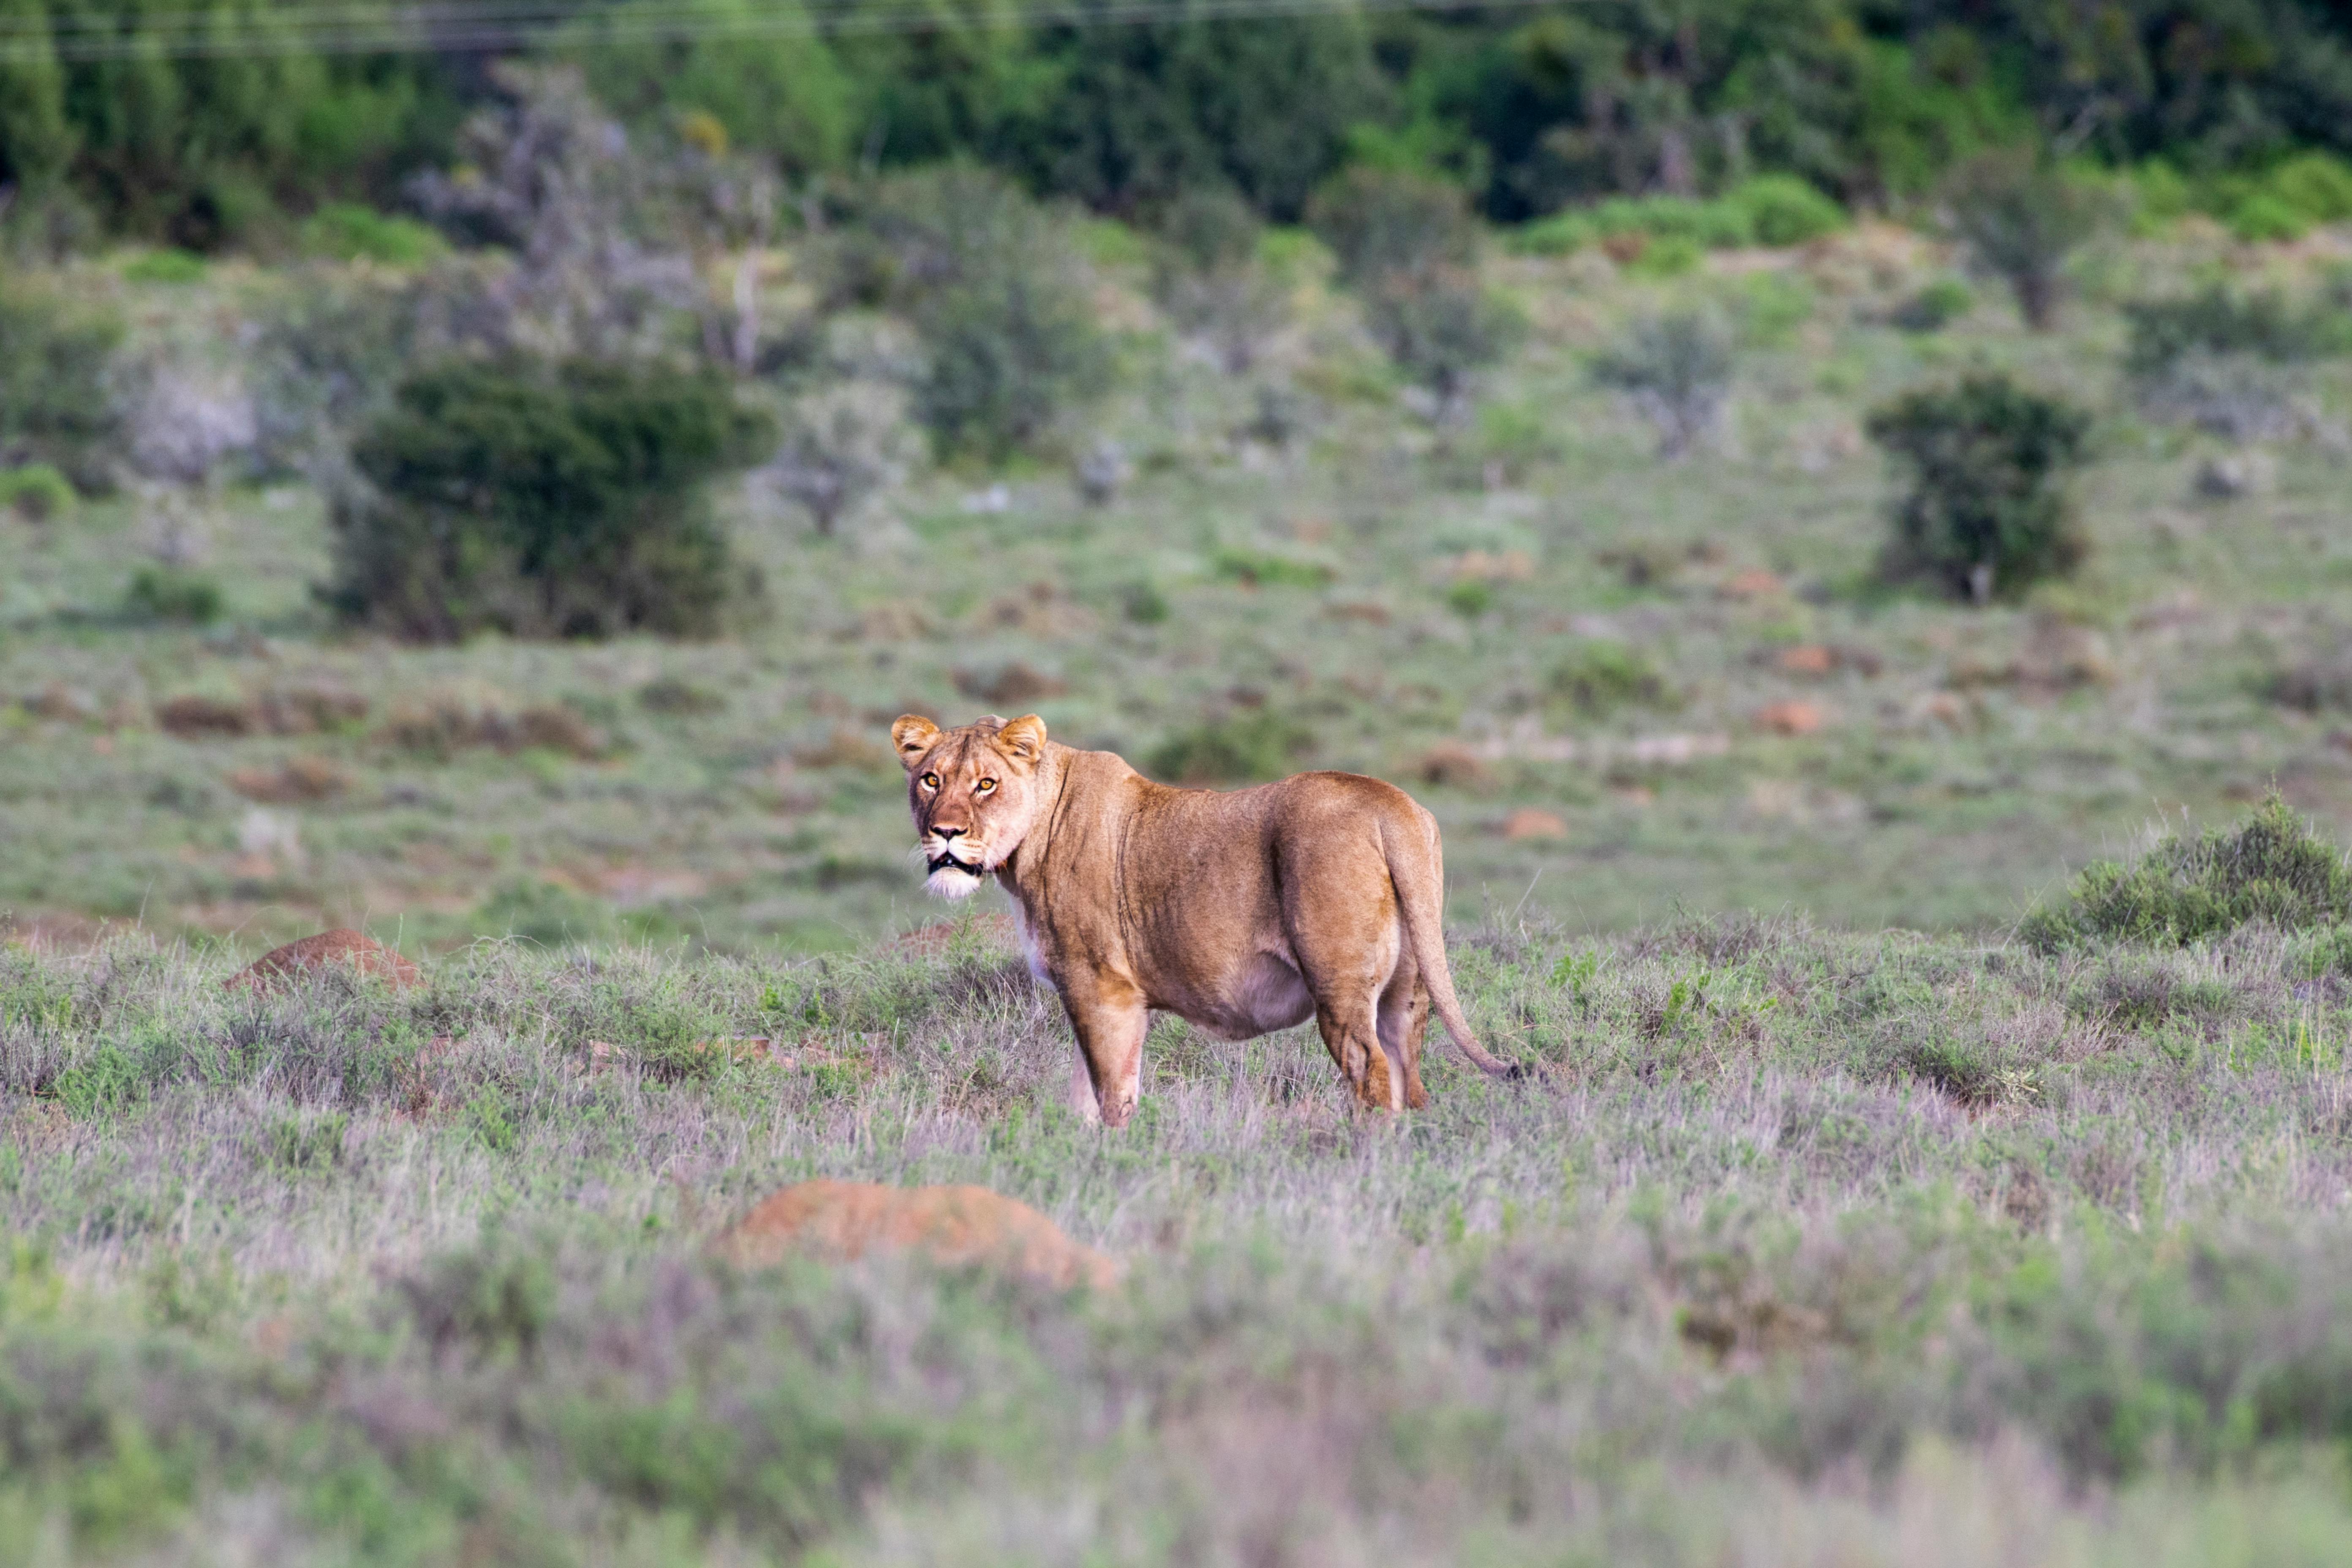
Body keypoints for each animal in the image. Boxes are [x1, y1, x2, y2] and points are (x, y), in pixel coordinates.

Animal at [890, 711, 1522, 1126]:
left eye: (986, 784)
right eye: (931, 779)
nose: (946, 832)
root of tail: (1388, 803)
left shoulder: (1101, 988)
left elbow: (1112, 1094)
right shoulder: (1099, 995)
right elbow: (1085, 1092)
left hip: (1339, 984)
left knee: (1372, 1073)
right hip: (1406, 990)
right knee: (1411, 1078)